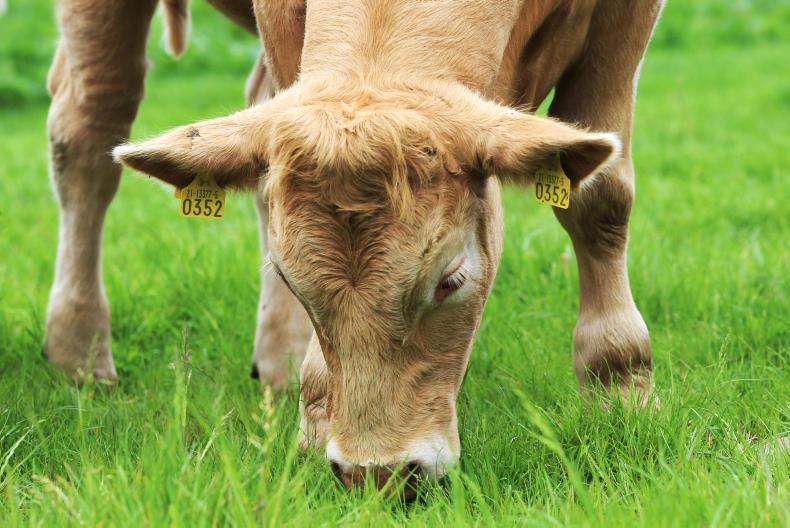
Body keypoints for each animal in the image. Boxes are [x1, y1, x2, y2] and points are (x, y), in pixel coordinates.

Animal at [45, 0, 664, 497]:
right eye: (292, 279)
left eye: (451, 279)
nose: (378, 474)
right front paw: (317, 418)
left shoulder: (626, 20)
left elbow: (599, 199)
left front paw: (619, 388)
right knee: (87, 128)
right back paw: (79, 347)